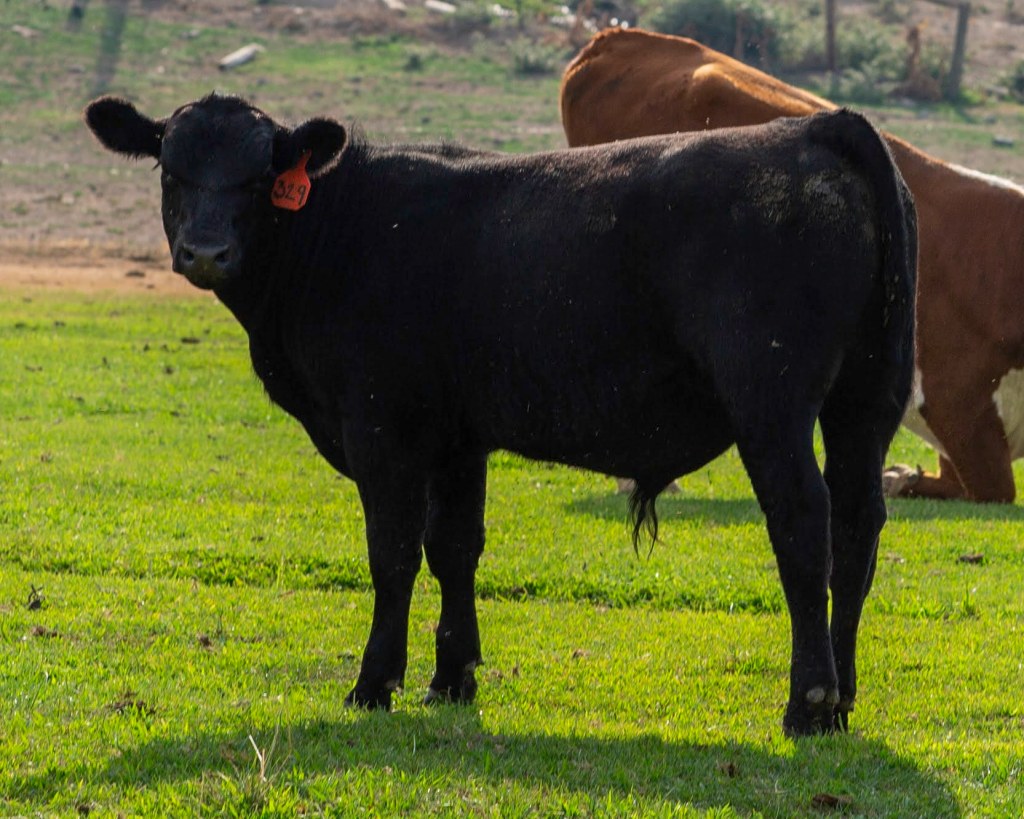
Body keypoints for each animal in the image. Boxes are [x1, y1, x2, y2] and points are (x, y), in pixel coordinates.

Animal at [84, 92, 915, 736]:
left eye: (261, 176)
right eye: (170, 167)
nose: (205, 251)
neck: (338, 228)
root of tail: (813, 129)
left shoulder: (380, 426)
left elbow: (393, 552)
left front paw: (374, 683)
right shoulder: (457, 438)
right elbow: (454, 547)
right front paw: (452, 676)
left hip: (770, 400)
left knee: (803, 524)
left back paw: (808, 701)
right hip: (867, 399)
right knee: (858, 524)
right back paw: (843, 699)